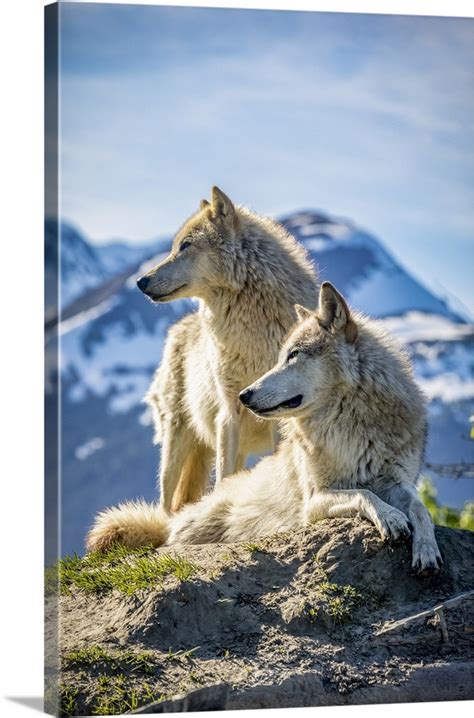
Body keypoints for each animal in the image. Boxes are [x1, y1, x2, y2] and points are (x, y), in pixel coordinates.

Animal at [87, 282, 442, 575]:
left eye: (293, 355)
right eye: (281, 356)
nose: (244, 395)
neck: (351, 426)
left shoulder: (398, 482)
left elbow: (420, 507)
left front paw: (426, 549)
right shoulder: (314, 499)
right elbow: (362, 493)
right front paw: (391, 518)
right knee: (167, 539)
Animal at [136, 186, 318, 512]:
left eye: (185, 246)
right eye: (174, 246)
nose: (140, 281)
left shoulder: (277, 419)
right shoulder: (228, 412)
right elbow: (223, 478)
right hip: (175, 445)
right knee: (166, 503)